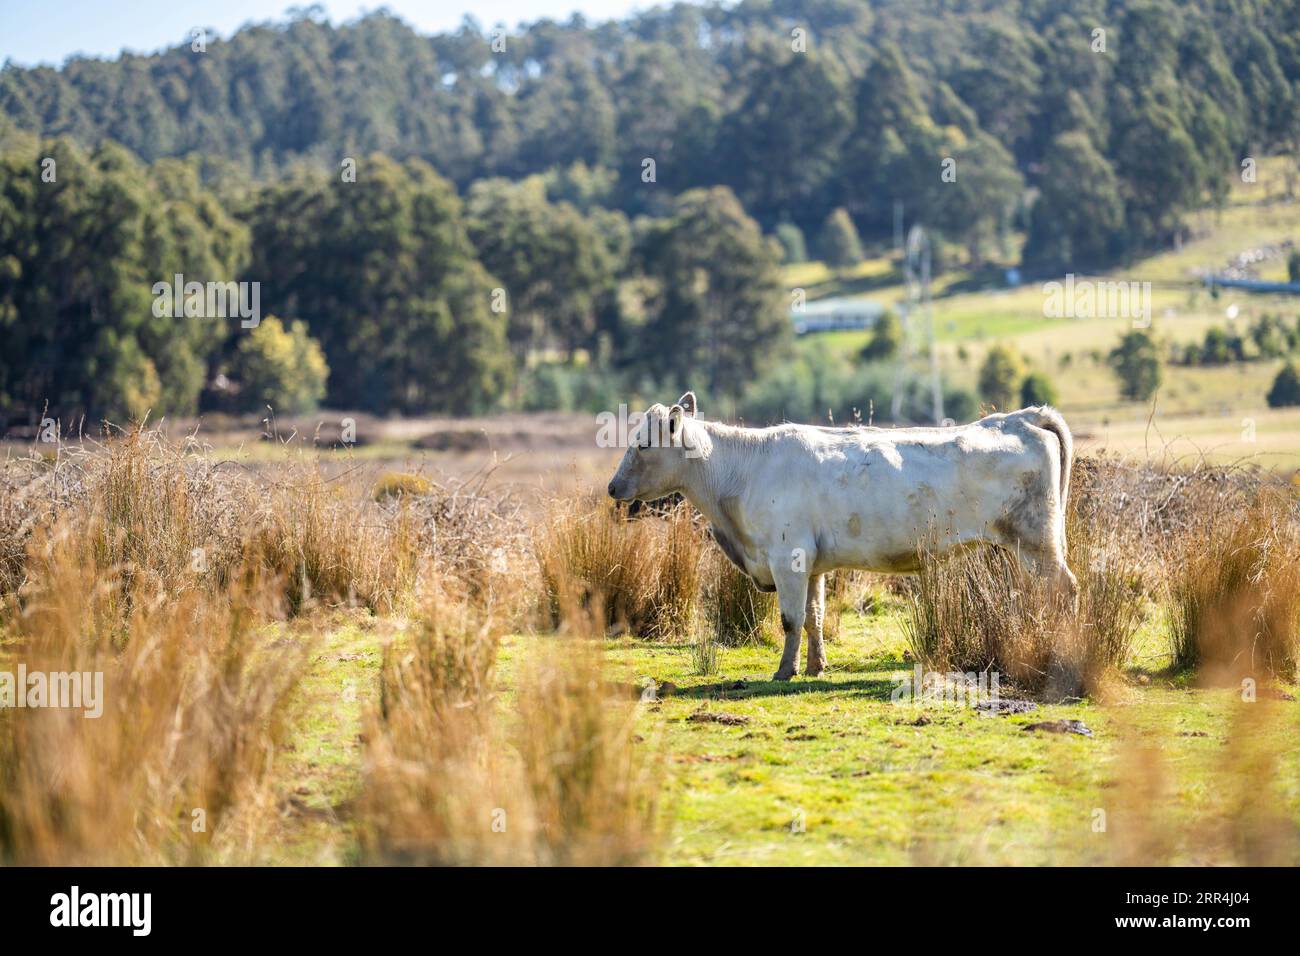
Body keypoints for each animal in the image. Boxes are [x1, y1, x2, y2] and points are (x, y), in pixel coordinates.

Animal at [607, 392, 1077, 681]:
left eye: (643, 444)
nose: (612, 487)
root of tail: (1019, 417)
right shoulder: (812, 564)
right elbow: (815, 617)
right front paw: (817, 666)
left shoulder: (787, 557)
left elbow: (790, 618)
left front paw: (784, 671)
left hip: (1039, 543)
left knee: (1065, 589)